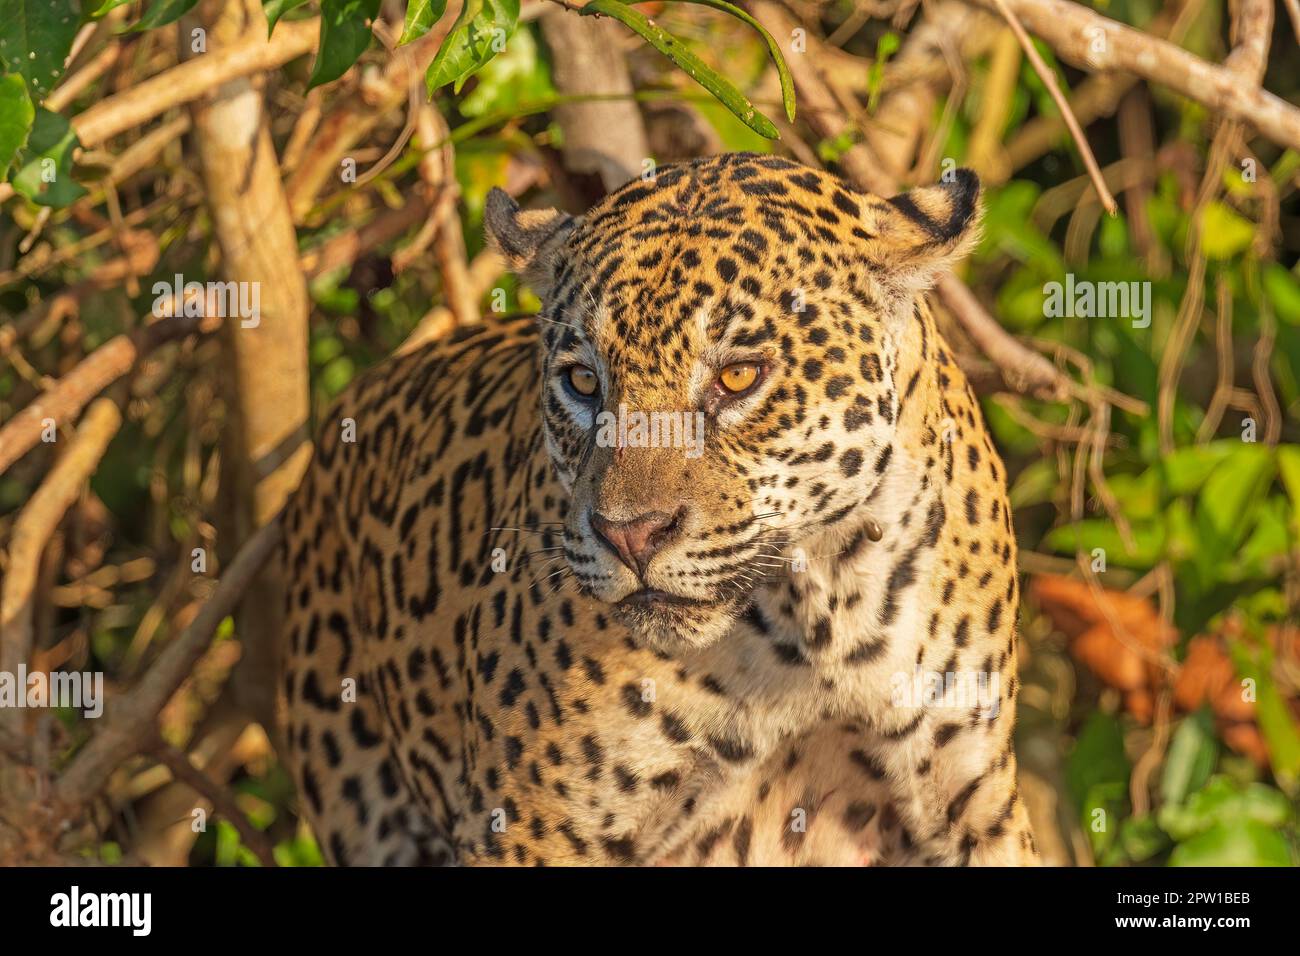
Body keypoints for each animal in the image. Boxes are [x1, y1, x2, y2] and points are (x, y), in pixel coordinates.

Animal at [278, 151, 1039, 866]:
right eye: (583, 382)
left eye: (739, 375)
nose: (631, 536)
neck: (818, 621)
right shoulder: (532, 825)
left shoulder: (973, 804)